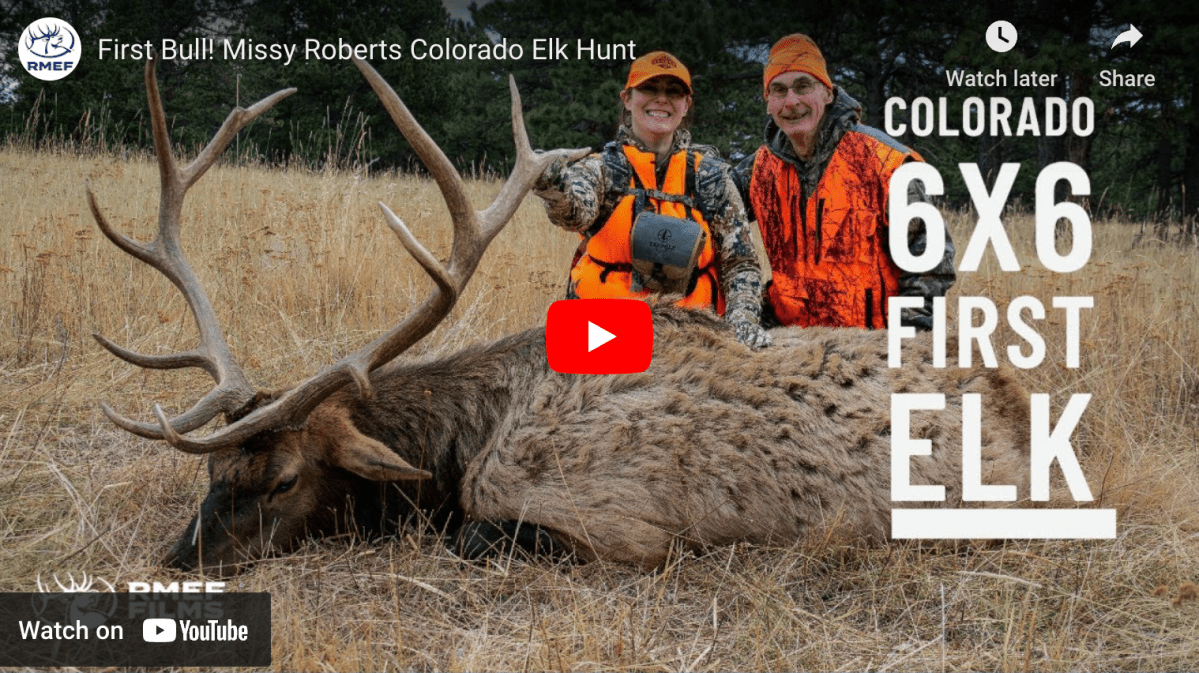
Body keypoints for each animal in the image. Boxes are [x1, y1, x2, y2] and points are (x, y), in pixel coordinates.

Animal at [92, 55, 1036, 577]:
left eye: (284, 479)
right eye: (215, 474)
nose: (177, 558)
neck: (464, 444)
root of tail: (1023, 407)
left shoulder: (623, 525)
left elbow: (474, 538)